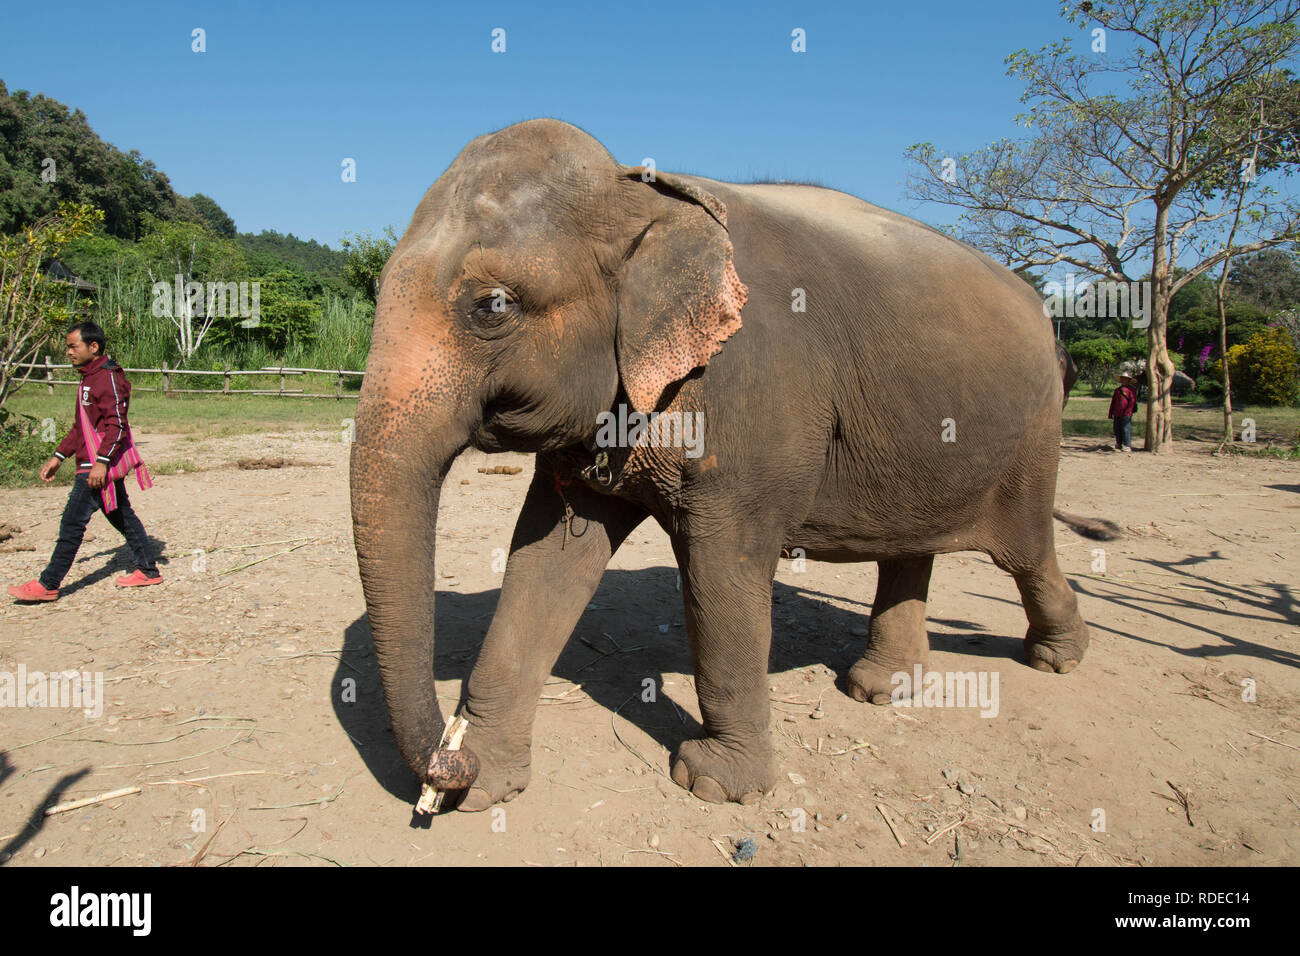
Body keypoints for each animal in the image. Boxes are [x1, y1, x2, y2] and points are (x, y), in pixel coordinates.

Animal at [349, 118, 1117, 810]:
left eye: (492, 306)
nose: (446, 765)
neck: (642, 195)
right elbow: (546, 559)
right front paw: (485, 786)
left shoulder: (754, 401)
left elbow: (723, 570)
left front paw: (716, 785)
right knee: (911, 549)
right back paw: (879, 689)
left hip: (1032, 438)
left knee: (1025, 552)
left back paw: (1057, 657)